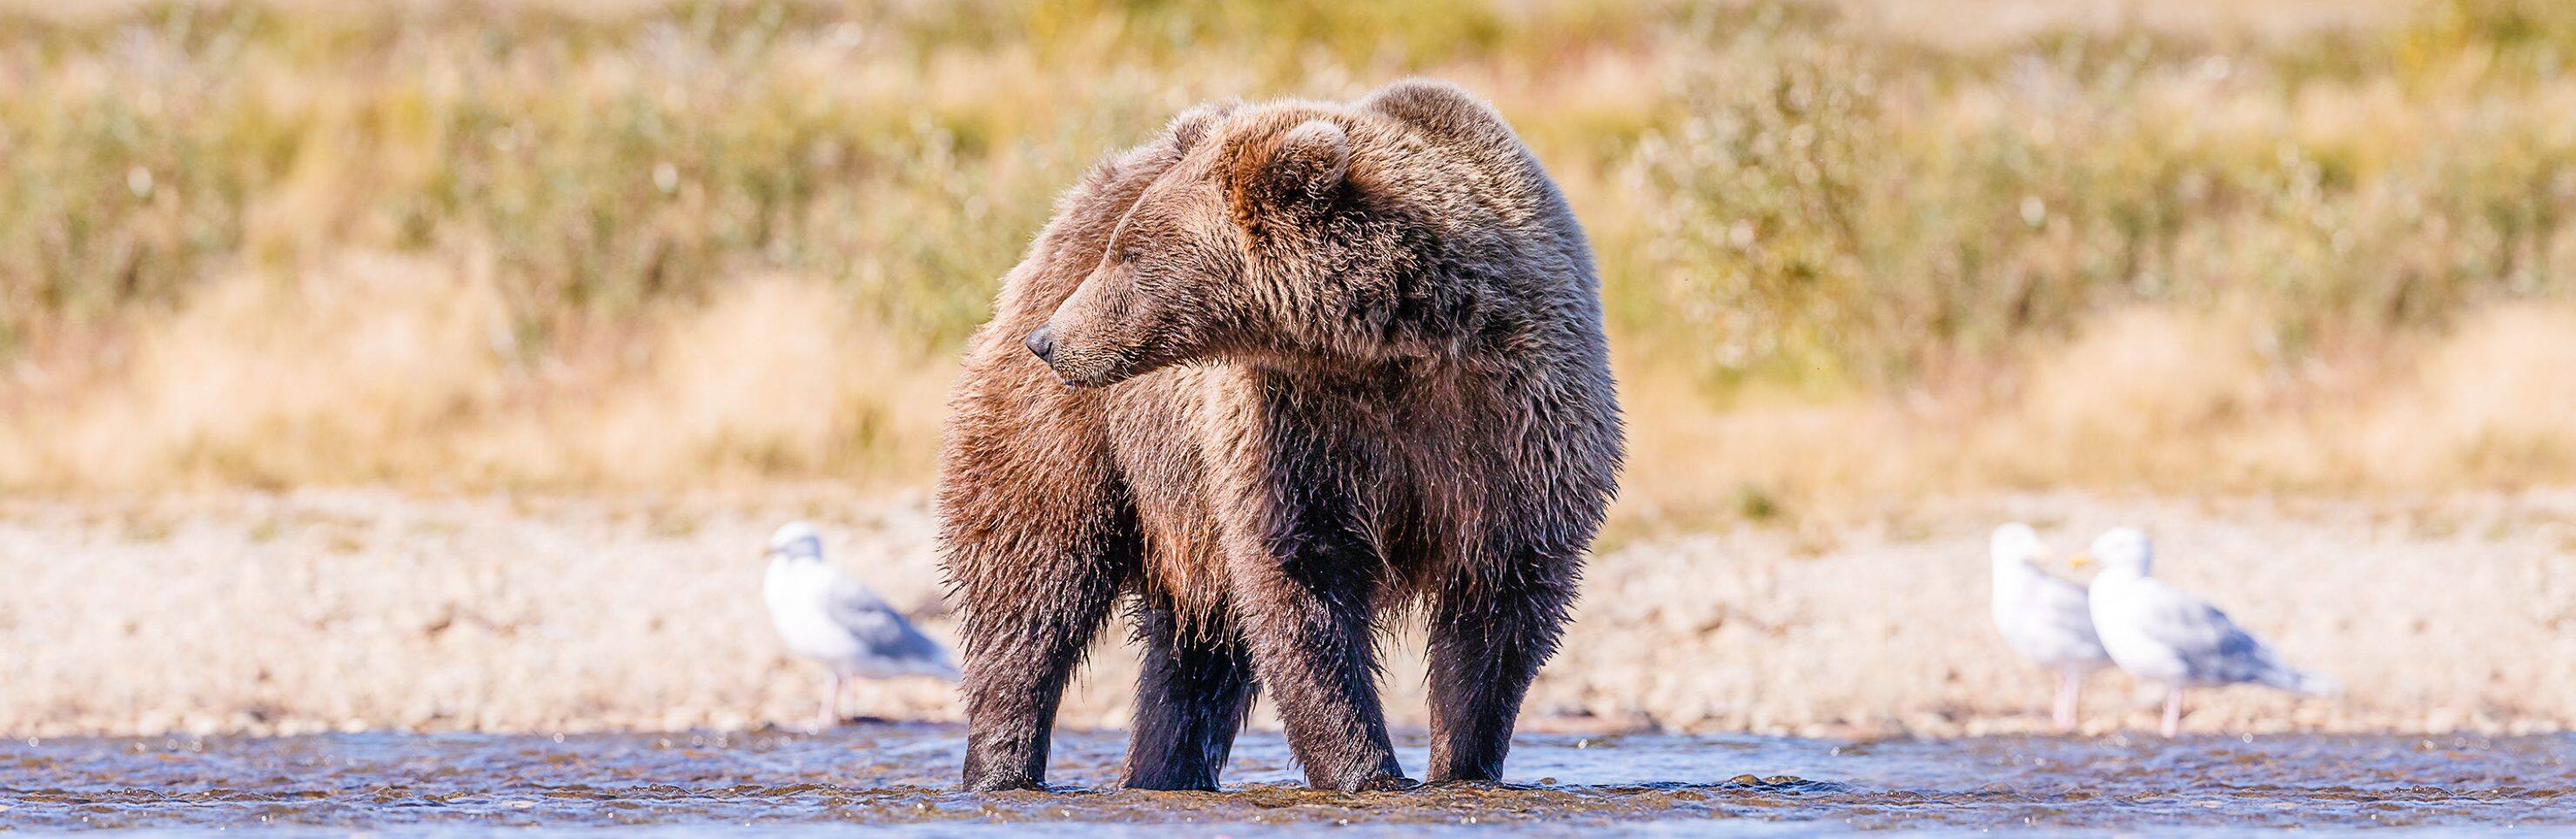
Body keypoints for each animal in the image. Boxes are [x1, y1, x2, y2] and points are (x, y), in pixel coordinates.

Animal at [936, 79, 1623, 793]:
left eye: (1131, 254)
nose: (1047, 340)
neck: (1388, 347)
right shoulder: (1294, 432)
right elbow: (1301, 585)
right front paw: (1366, 768)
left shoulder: (1512, 429)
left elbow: (1500, 607)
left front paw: (1464, 765)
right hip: (1081, 439)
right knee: (1032, 582)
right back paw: (1002, 766)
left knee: (1194, 656)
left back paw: (1165, 771)